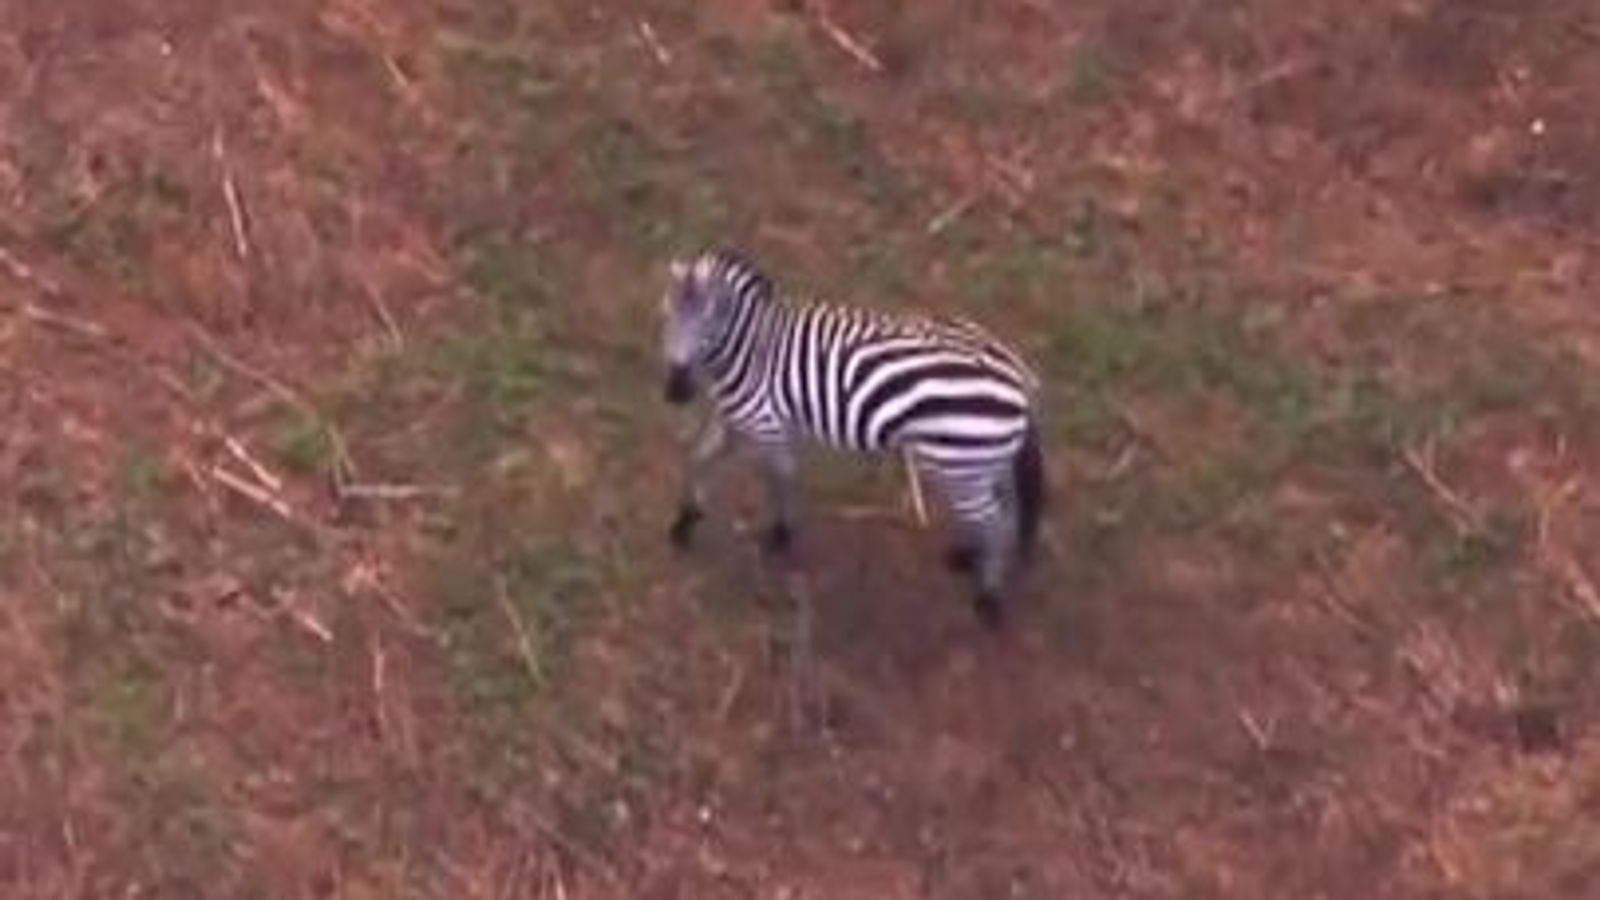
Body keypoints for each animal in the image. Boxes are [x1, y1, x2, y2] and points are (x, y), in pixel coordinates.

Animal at [659, 248, 1046, 628]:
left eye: (710, 324)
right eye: (668, 316)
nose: (675, 391)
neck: (753, 350)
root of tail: (1019, 375)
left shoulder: (766, 427)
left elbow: (780, 478)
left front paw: (781, 535)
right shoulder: (735, 422)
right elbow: (700, 457)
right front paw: (684, 522)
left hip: (959, 462)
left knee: (993, 523)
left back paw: (987, 598)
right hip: (983, 461)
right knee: (1003, 515)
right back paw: (967, 558)